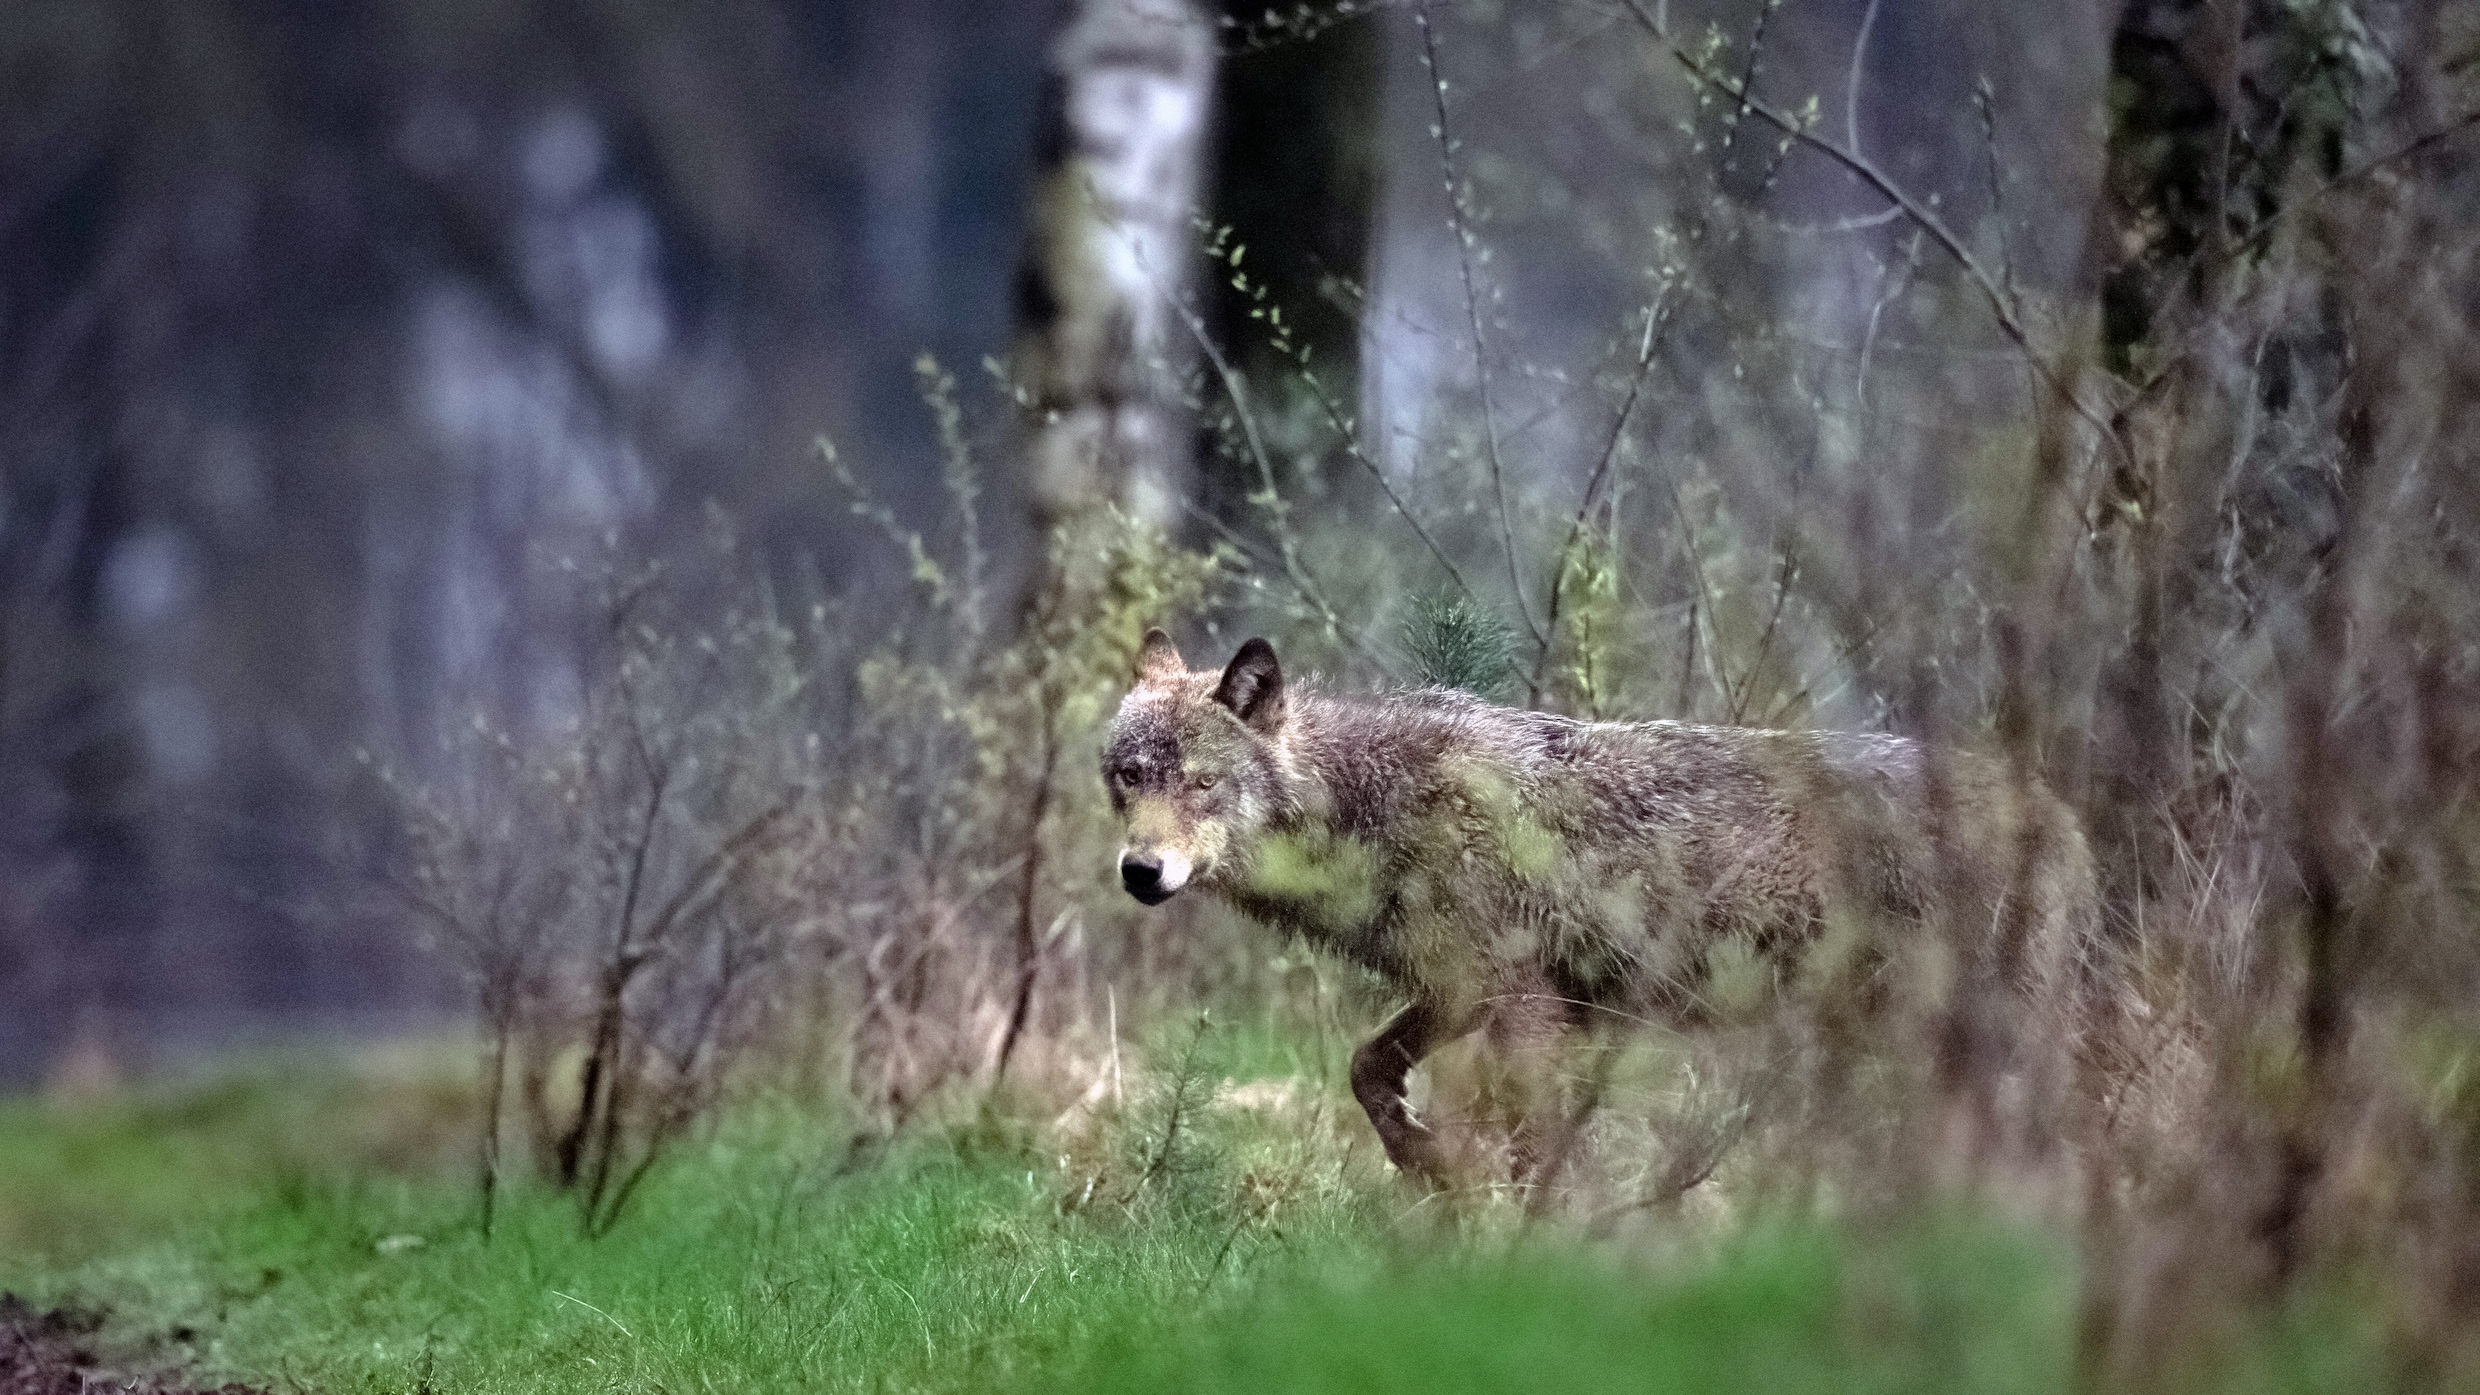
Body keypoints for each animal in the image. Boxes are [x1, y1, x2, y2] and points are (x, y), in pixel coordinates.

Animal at [1102, 629, 2100, 1184]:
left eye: (1200, 784)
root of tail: (2057, 811)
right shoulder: (1470, 992)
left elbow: (1535, 1150)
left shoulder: (1523, 1008)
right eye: (1127, 778)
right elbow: (1366, 1069)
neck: (1376, 805)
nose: (1140, 871)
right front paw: (1427, 1161)